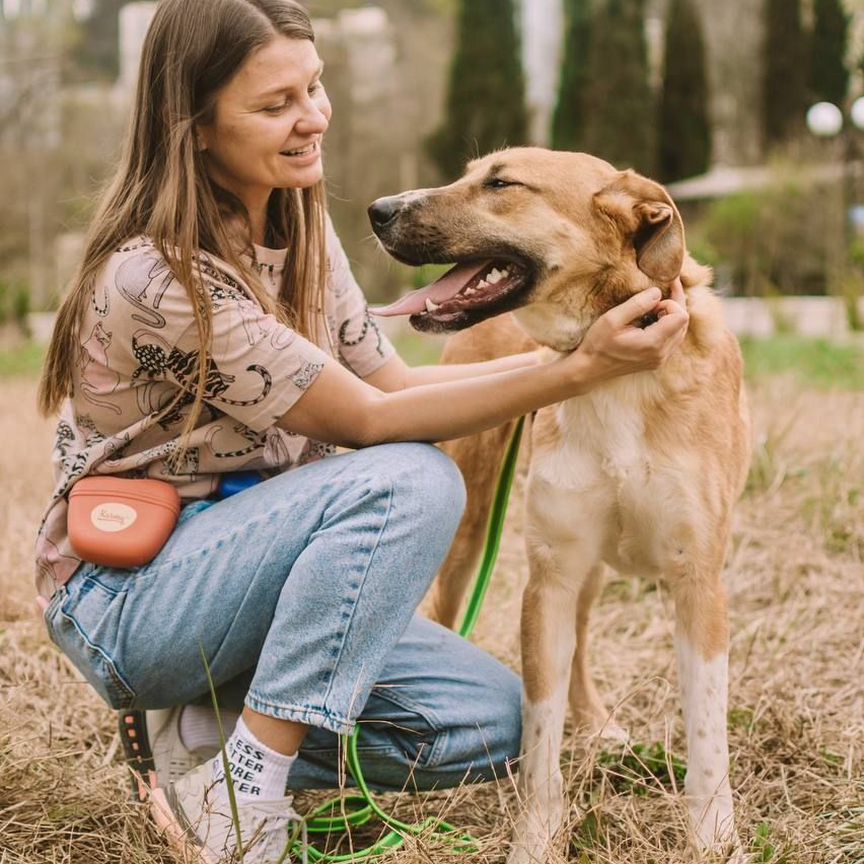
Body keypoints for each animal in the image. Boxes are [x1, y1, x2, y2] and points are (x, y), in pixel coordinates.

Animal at [368, 150, 752, 864]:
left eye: (501, 182)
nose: (378, 210)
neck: (617, 380)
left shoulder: (699, 582)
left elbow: (708, 735)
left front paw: (714, 838)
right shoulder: (548, 578)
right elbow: (539, 736)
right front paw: (536, 837)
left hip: (592, 569)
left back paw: (598, 724)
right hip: (474, 526)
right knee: (454, 609)